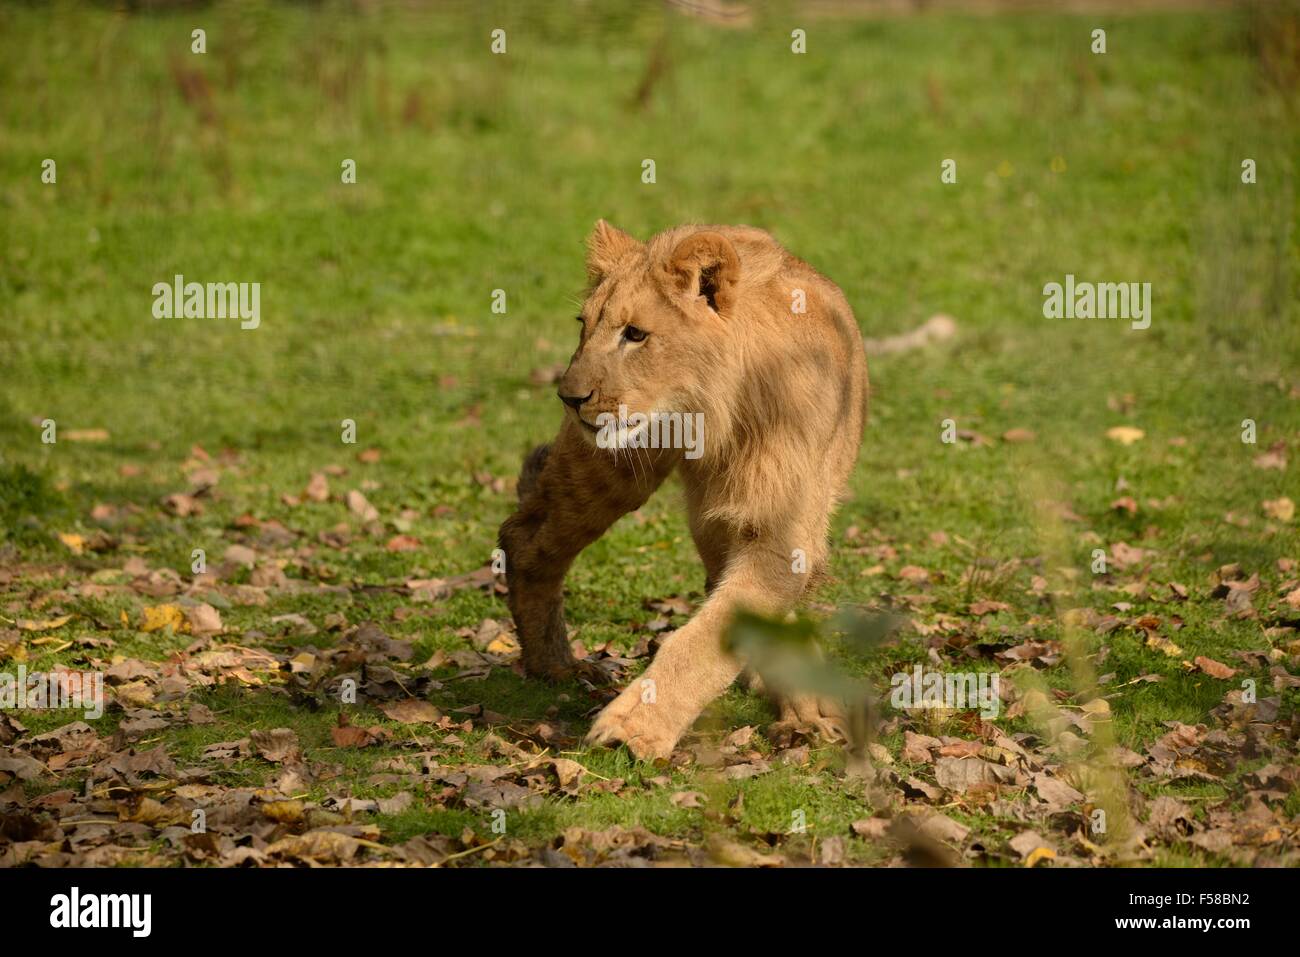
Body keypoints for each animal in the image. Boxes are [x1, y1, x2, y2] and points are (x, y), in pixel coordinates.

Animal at [497, 220, 869, 759]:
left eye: (635, 334)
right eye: (582, 326)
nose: (569, 396)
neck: (721, 416)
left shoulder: (777, 534)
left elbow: (716, 632)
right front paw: (633, 731)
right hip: (612, 470)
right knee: (524, 537)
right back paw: (556, 664)